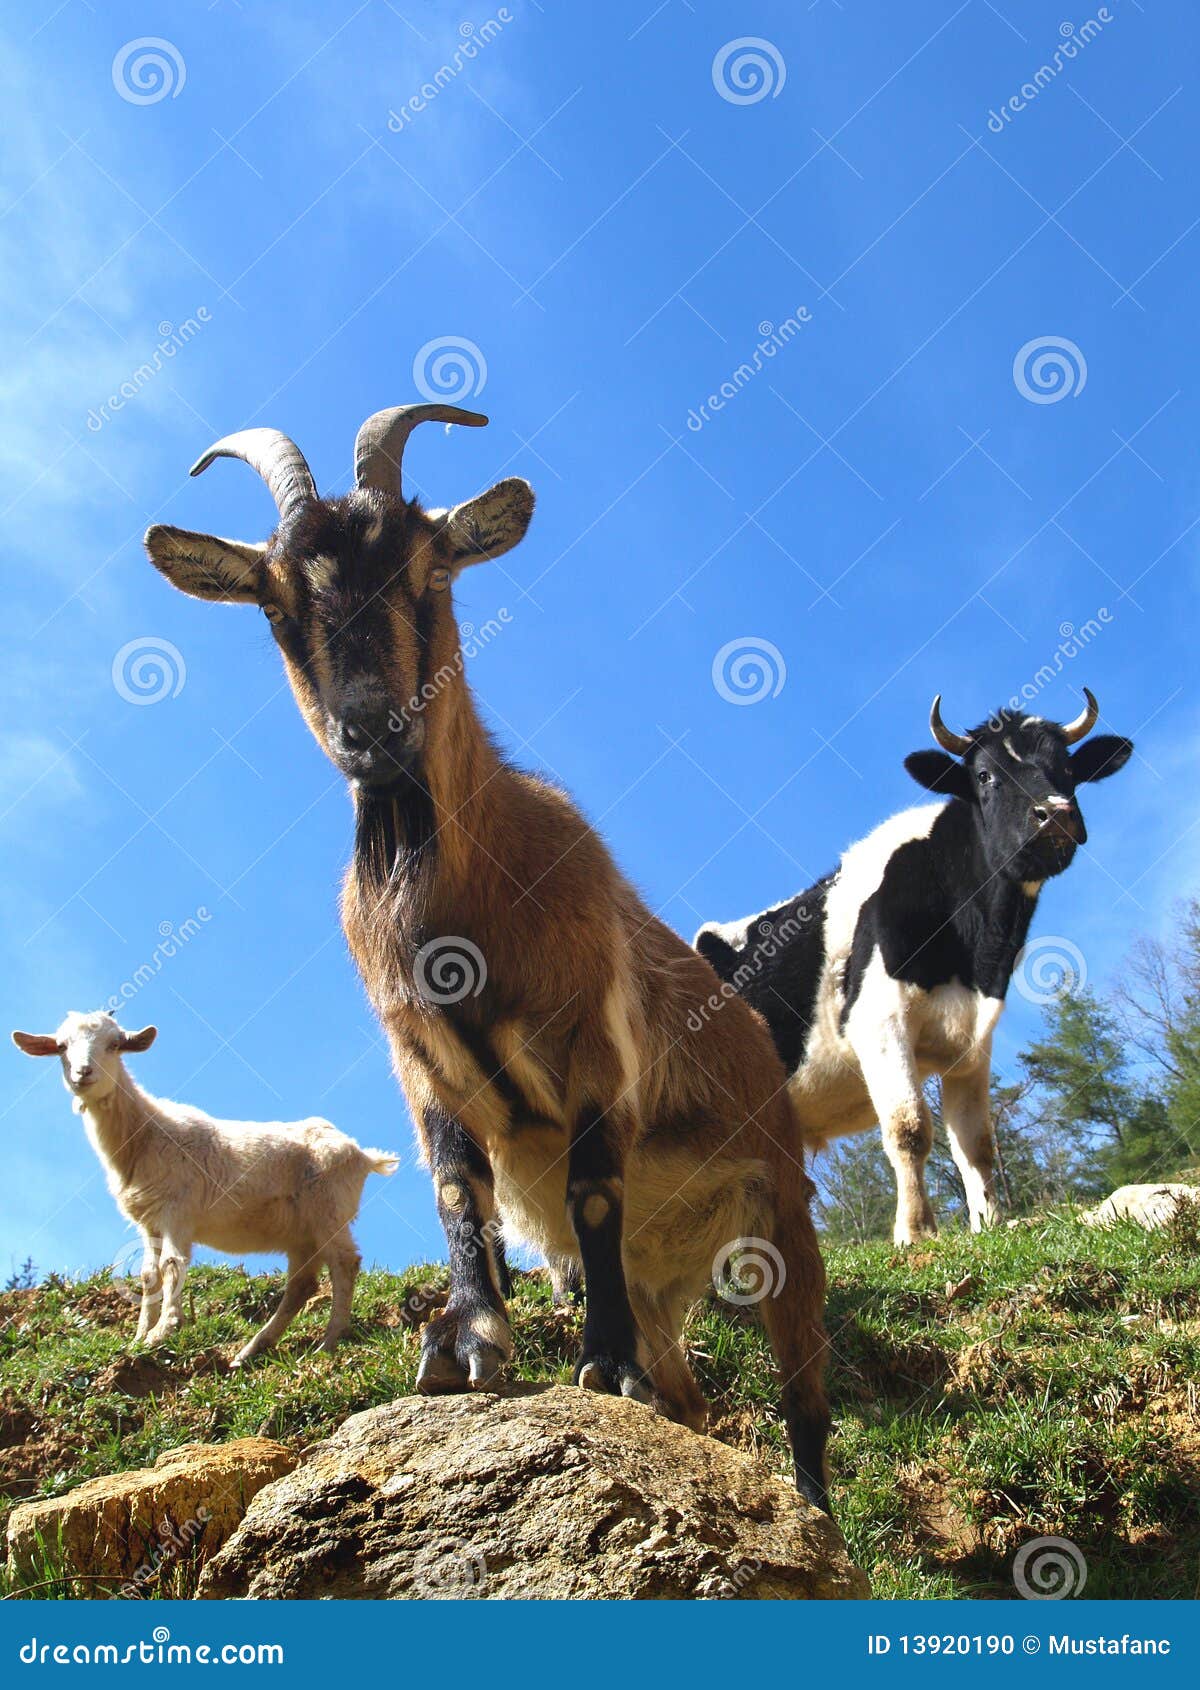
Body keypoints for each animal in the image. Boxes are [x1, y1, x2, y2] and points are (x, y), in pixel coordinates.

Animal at [12, 1011, 398, 1364]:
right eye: (62, 1047)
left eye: (115, 1044)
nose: (83, 1073)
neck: (145, 1134)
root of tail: (362, 1154)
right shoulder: (148, 1221)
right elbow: (148, 1274)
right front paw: (139, 1337)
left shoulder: (177, 1210)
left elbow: (171, 1265)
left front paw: (164, 1330)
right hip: (301, 1233)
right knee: (302, 1285)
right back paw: (251, 1349)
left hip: (329, 1211)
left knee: (345, 1263)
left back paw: (329, 1341)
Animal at [141, 405, 832, 1508]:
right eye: (276, 600)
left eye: (431, 568)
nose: (371, 727)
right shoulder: (420, 1060)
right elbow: (454, 1188)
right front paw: (466, 1343)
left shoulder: (593, 1038)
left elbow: (592, 1185)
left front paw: (594, 1359)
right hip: (665, 1275)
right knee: (683, 1389)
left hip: (782, 1218)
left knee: (807, 1405)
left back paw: (801, 1503)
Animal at [694, 692, 1132, 1245]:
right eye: (985, 775)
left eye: (1068, 767)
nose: (1055, 814)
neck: (976, 953)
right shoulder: (879, 1021)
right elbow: (909, 1128)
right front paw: (915, 1230)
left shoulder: (973, 1041)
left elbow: (975, 1144)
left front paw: (989, 1223)